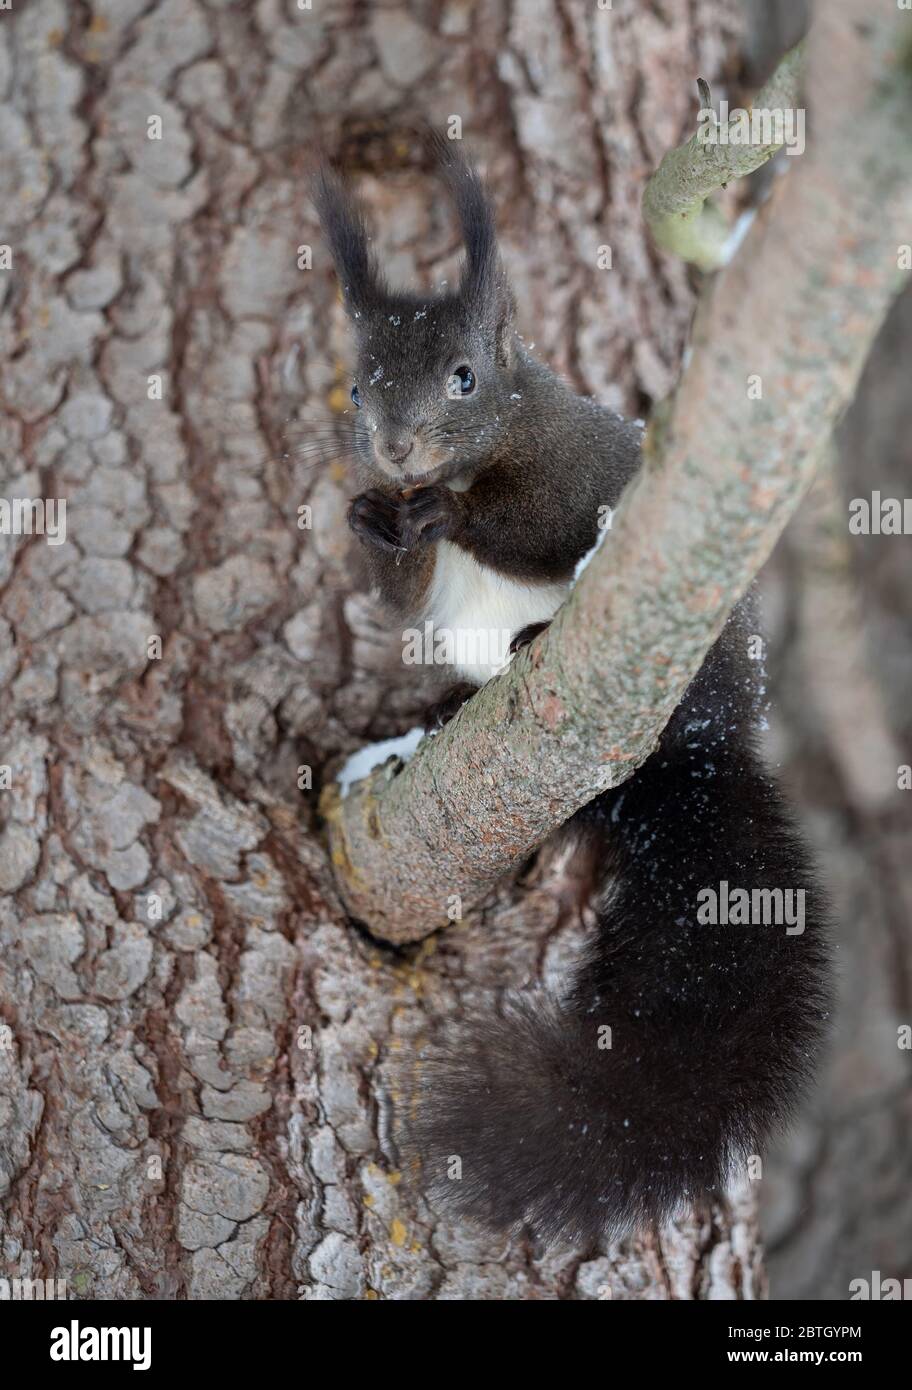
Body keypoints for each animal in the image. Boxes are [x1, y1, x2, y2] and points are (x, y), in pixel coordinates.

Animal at [314, 139, 831, 1246]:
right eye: (358, 386)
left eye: (464, 376)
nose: (399, 450)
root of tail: (707, 754)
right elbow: (403, 592)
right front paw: (375, 522)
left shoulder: (574, 477)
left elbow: (532, 526)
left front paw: (445, 511)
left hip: (686, 664)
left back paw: (534, 635)